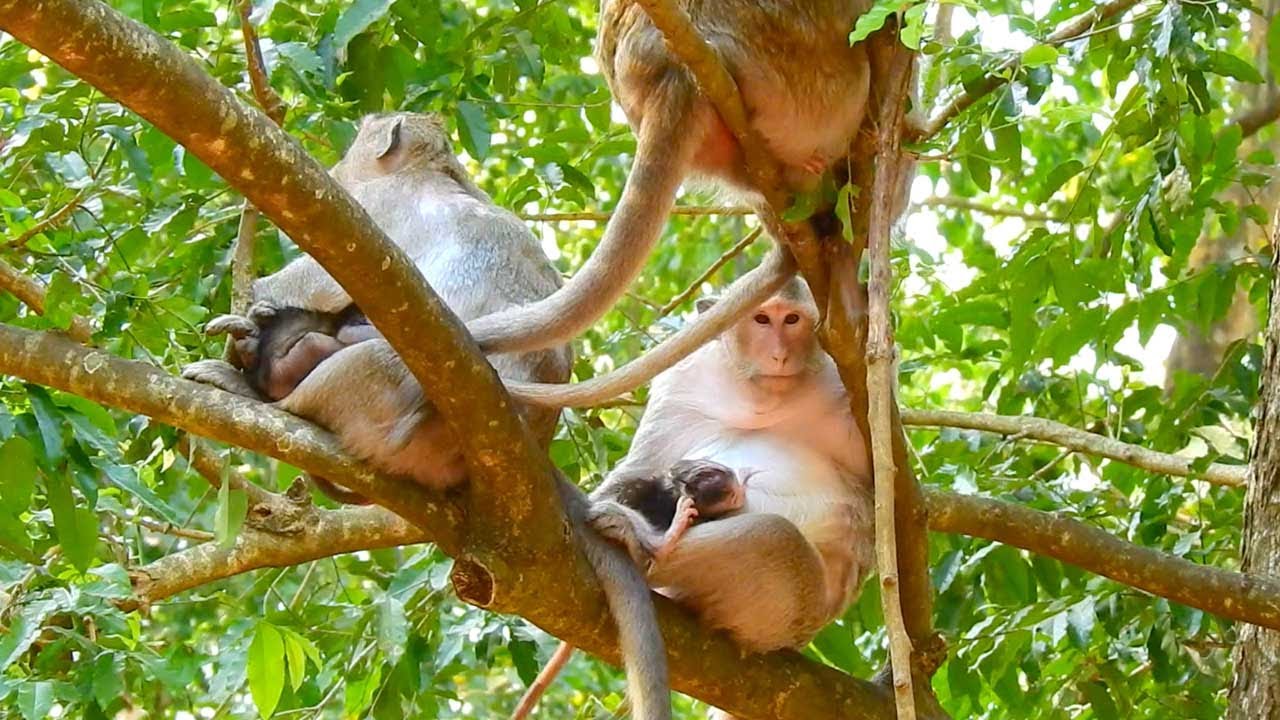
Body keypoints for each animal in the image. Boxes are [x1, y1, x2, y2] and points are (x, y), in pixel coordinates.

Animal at [182, 113, 673, 720]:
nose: (338, 163)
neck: (432, 172)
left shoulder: (371, 210)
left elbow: (313, 280)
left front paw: (253, 327)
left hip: (384, 398)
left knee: (359, 358)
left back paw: (263, 392)